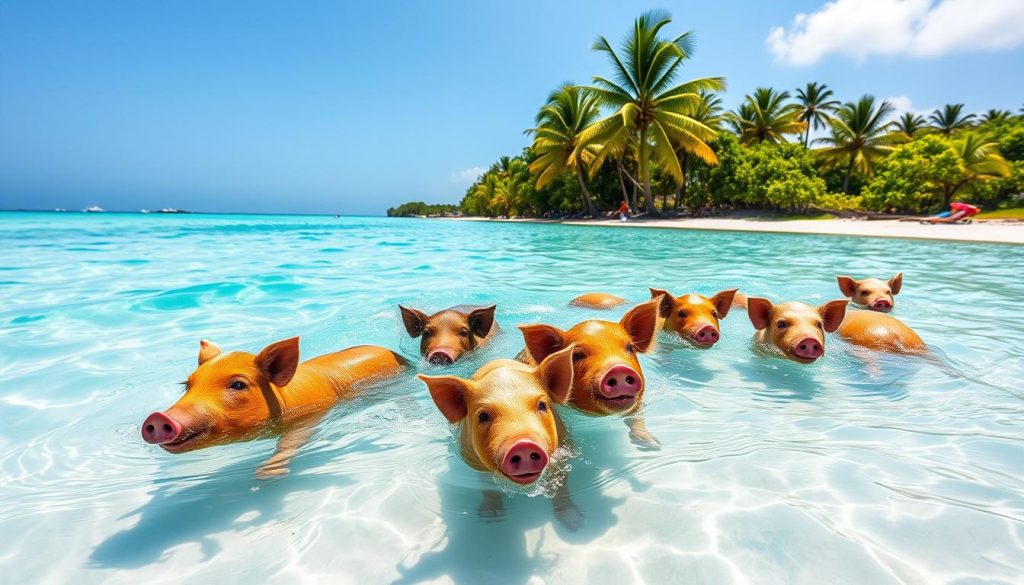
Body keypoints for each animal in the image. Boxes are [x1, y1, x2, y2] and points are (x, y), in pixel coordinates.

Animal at [141, 337, 406, 477]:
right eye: (187, 385)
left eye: (238, 384)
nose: (157, 416)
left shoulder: (310, 417)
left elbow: (292, 440)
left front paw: (265, 475)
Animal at [418, 345, 583, 529]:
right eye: (483, 416)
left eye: (542, 405)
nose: (523, 444)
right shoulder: (474, 463)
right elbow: (488, 488)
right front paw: (490, 518)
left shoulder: (563, 450)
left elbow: (561, 485)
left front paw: (575, 524)